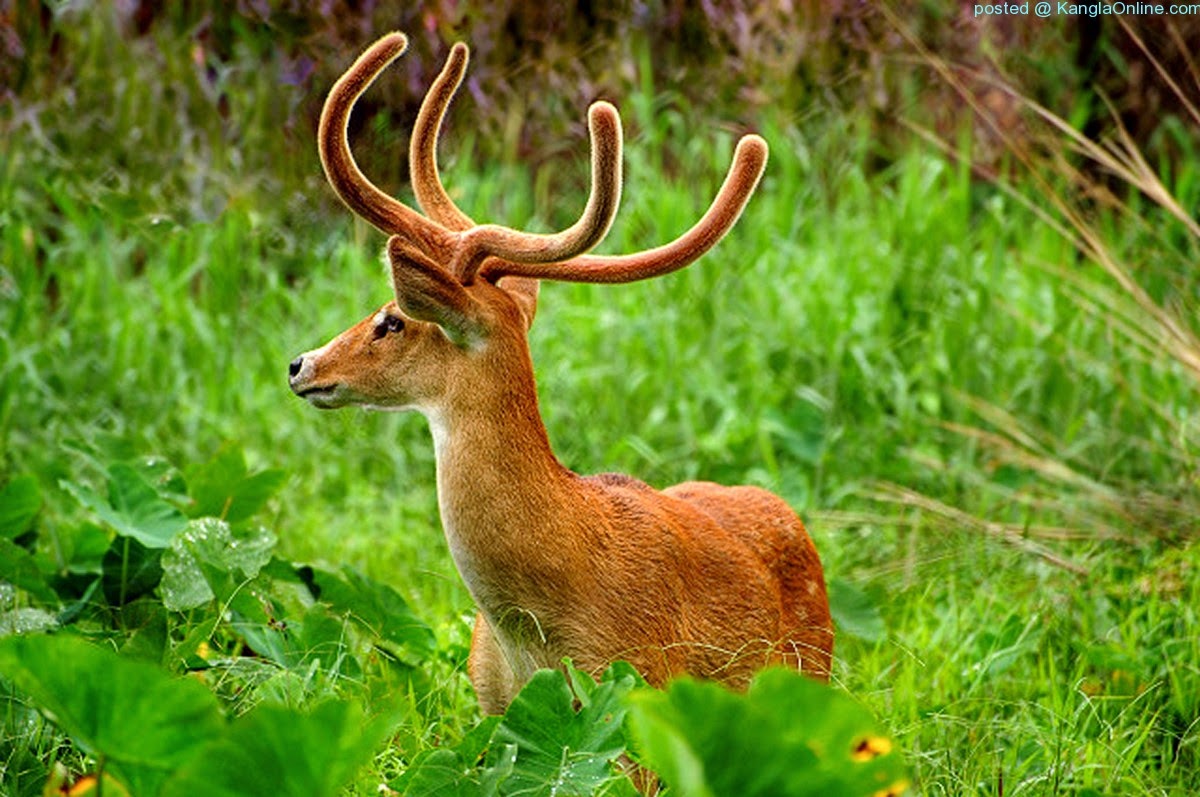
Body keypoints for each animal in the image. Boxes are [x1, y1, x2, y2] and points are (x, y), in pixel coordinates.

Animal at [288, 32, 833, 715]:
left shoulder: (638, 690)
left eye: (392, 320)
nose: (300, 364)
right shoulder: (492, 705)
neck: (538, 621)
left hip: (812, 680)